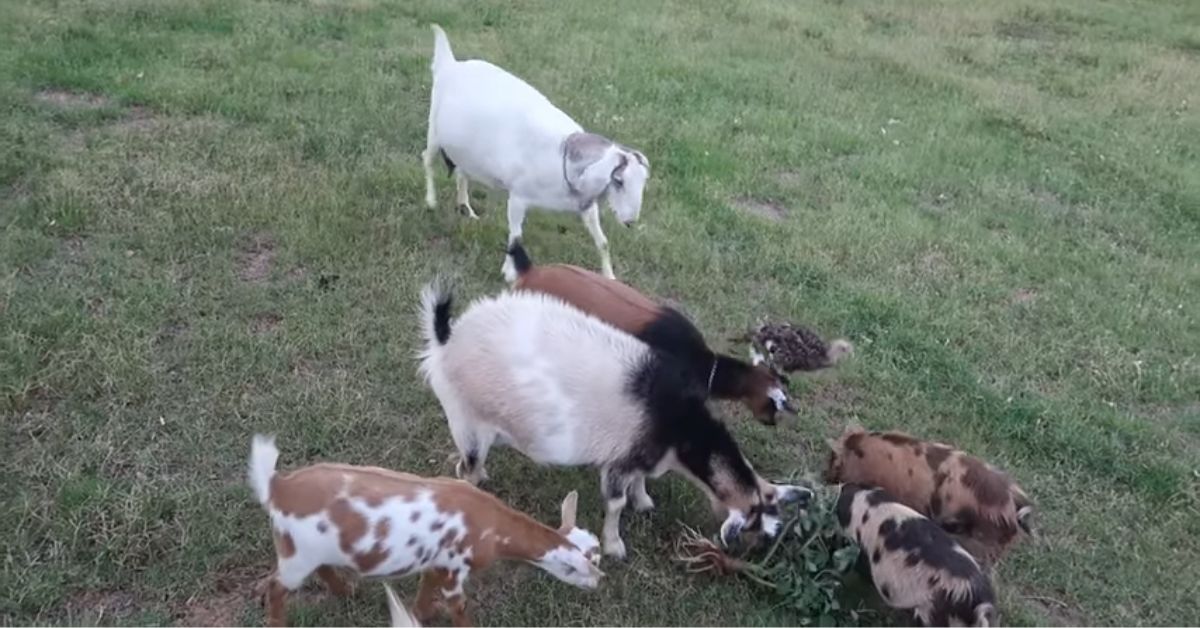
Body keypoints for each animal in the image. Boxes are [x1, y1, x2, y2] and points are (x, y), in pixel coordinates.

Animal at [249, 435, 602, 627]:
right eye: (580, 568)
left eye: (596, 550)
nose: (599, 583)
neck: (491, 527)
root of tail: (279, 487)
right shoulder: (456, 568)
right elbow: (458, 606)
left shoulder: (437, 562)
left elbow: (426, 586)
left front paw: (420, 613)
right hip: (297, 555)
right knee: (276, 588)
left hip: (307, 550)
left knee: (319, 569)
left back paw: (347, 591)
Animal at [417, 282, 810, 559]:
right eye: (755, 527)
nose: (758, 553)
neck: (679, 425)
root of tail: (447, 339)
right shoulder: (620, 459)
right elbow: (616, 503)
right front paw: (615, 545)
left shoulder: (640, 455)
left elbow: (639, 483)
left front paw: (644, 500)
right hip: (469, 418)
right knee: (467, 466)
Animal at [422, 25, 650, 280]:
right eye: (618, 181)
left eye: (643, 183)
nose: (631, 221)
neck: (562, 156)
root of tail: (450, 64)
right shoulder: (518, 197)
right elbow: (516, 237)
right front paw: (510, 272)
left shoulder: (587, 204)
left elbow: (603, 242)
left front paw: (610, 277)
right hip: (434, 131)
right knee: (427, 159)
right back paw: (430, 201)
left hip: (465, 150)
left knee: (462, 172)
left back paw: (467, 209)